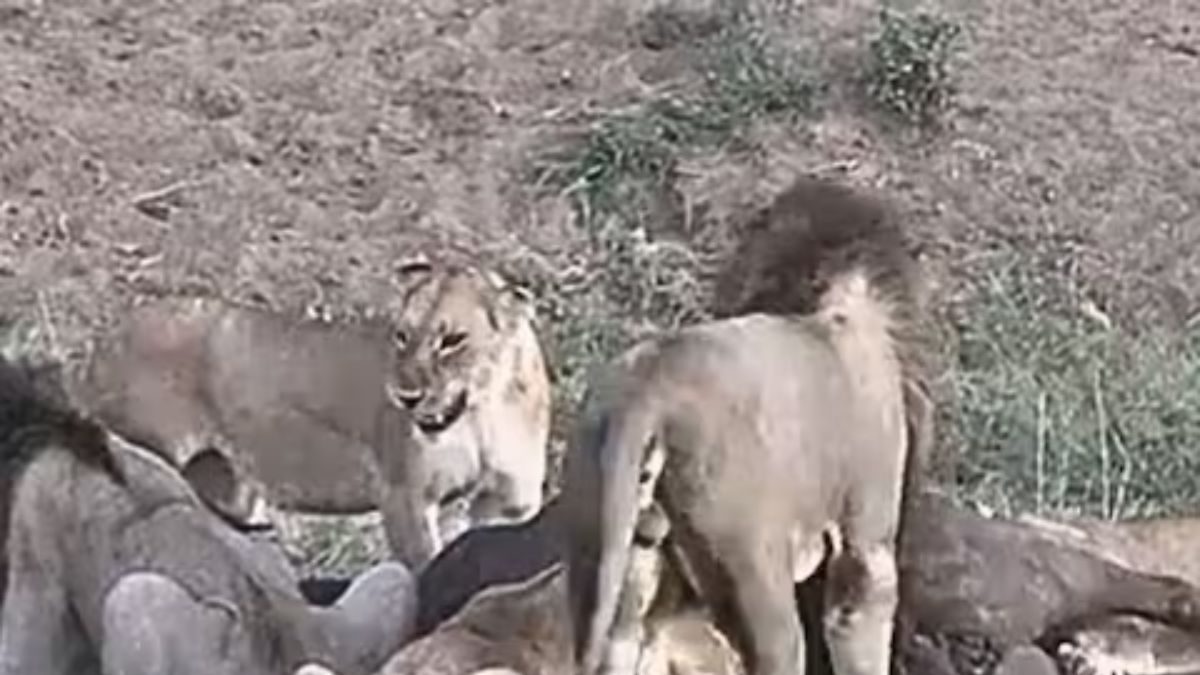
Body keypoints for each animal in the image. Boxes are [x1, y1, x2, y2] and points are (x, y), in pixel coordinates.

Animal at [77, 257, 552, 569]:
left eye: (452, 341)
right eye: (401, 336)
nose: (406, 396)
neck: (482, 415)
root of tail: (105, 342)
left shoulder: (513, 501)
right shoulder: (406, 496)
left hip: (228, 487)